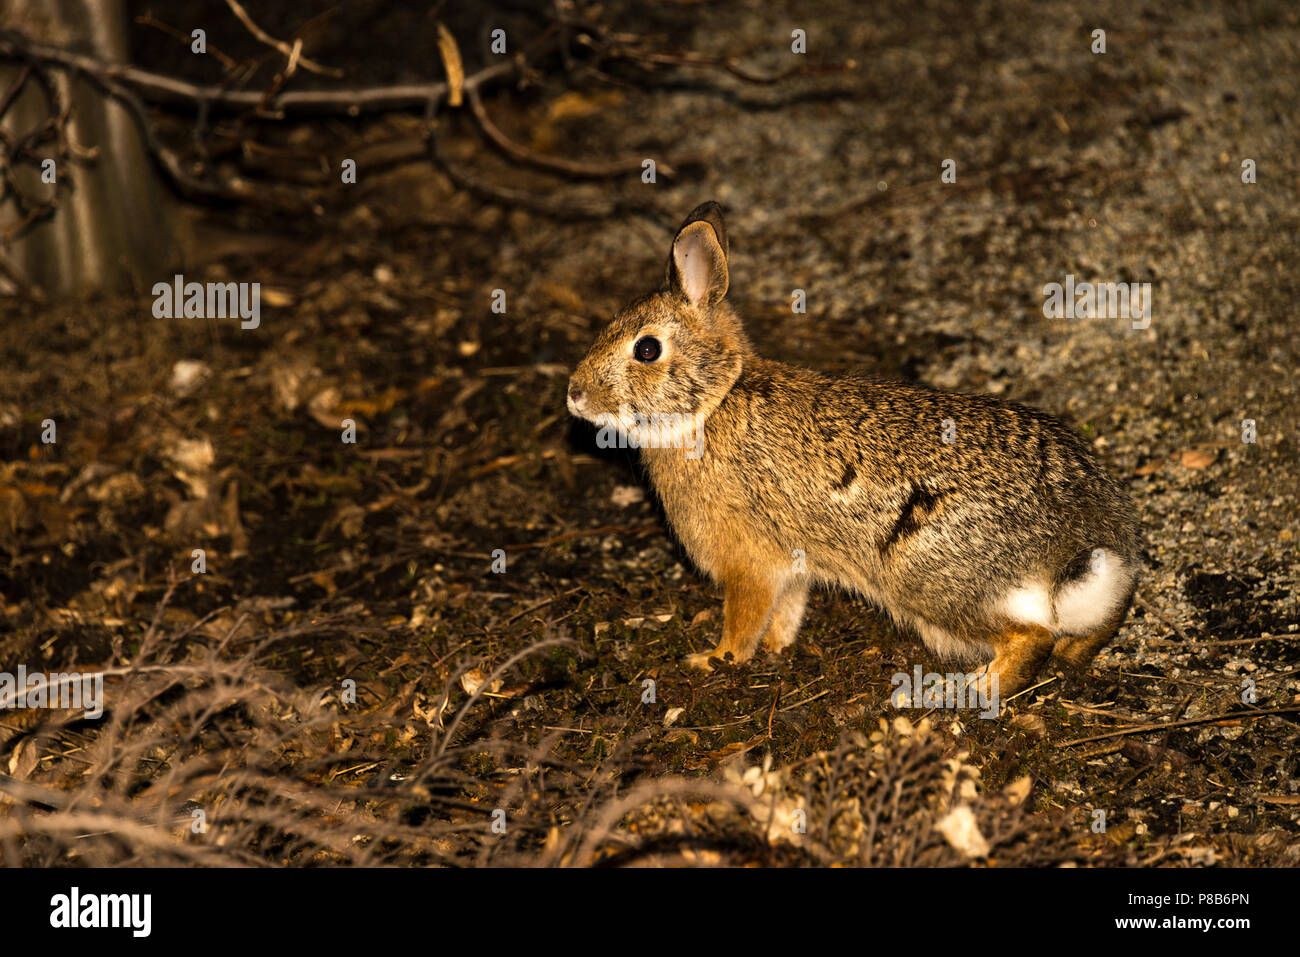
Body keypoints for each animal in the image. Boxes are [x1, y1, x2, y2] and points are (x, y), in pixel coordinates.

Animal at [566, 201, 1140, 698]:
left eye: (646, 349)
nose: (574, 394)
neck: (713, 402)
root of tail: (1078, 541)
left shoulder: (749, 560)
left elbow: (745, 618)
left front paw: (714, 660)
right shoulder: (791, 563)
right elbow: (787, 611)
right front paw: (777, 650)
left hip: (927, 580)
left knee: (1030, 637)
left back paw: (973, 690)